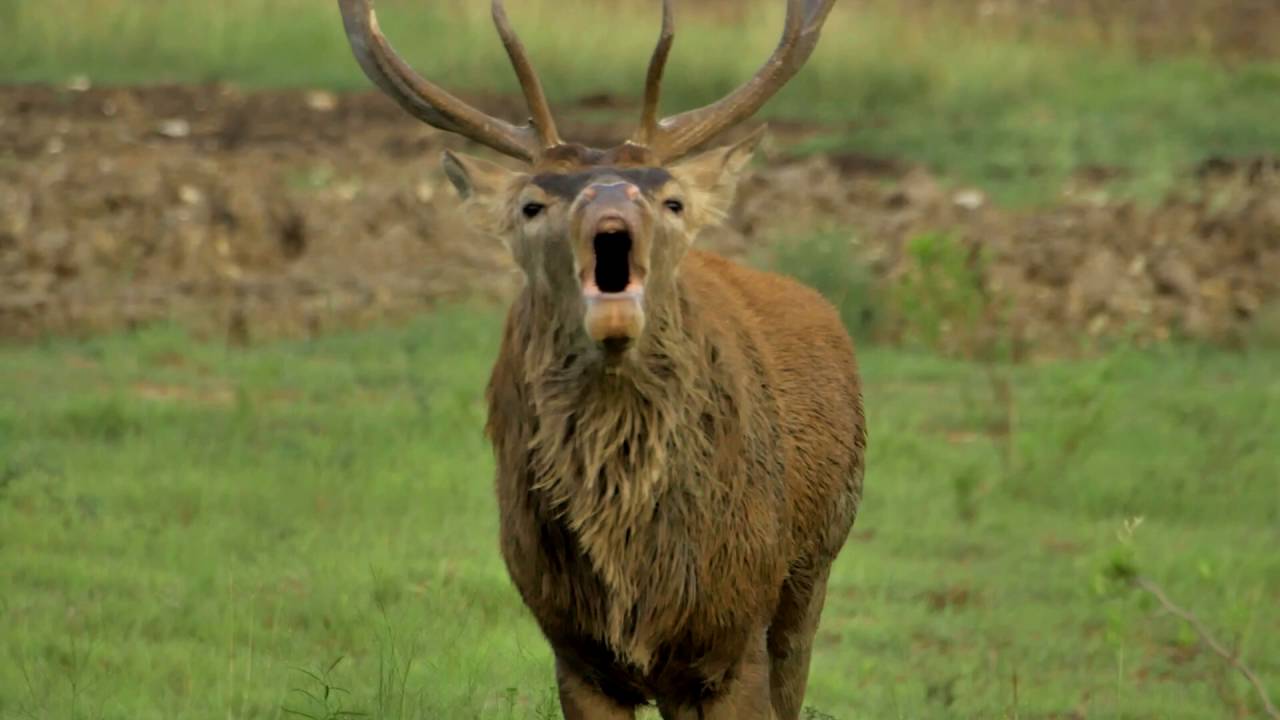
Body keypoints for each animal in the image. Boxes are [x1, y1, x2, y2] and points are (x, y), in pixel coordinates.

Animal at [337, 0, 865, 717]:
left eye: (672, 199)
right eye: (532, 204)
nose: (613, 212)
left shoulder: (736, 631)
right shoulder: (572, 646)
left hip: (811, 575)